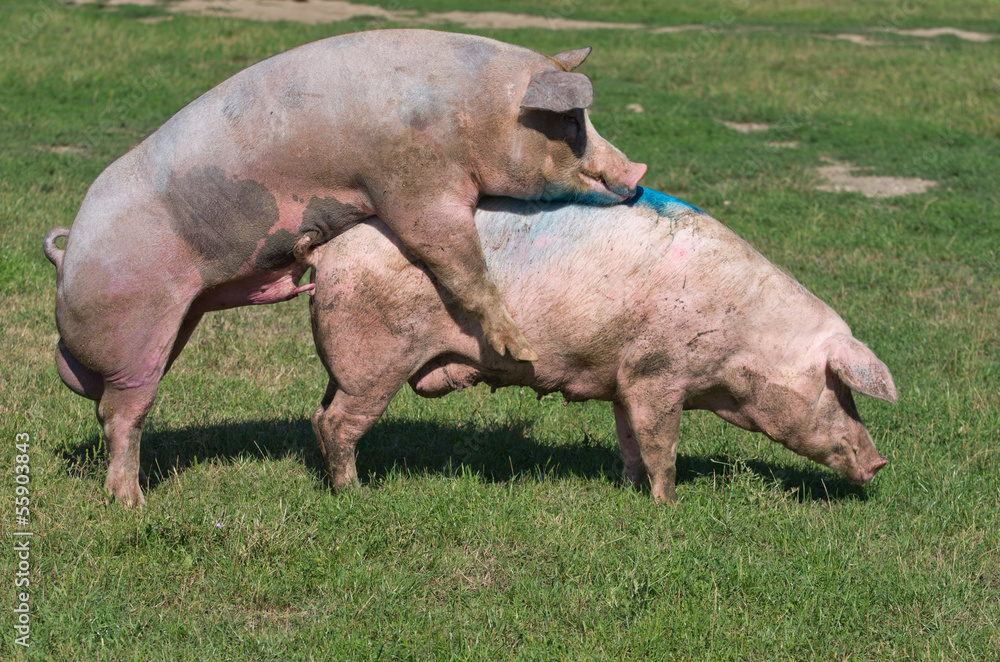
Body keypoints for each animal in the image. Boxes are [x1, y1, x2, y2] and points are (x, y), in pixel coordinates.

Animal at [42, 29, 646, 506]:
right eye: (572, 123)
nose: (637, 174)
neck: (476, 112)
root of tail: (65, 262)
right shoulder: (414, 182)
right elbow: (457, 261)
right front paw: (522, 349)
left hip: (177, 320)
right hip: (133, 331)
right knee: (121, 414)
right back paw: (131, 503)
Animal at [302, 187, 896, 502]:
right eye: (841, 391)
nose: (881, 462)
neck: (743, 345)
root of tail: (328, 254)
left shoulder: (622, 379)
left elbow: (630, 440)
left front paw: (629, 488)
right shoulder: (657, 373)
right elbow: (662, 445)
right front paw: (669, 505)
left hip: (345, 366)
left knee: (319, 414)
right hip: (374, 359)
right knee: (337, 422)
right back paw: (356, 494)